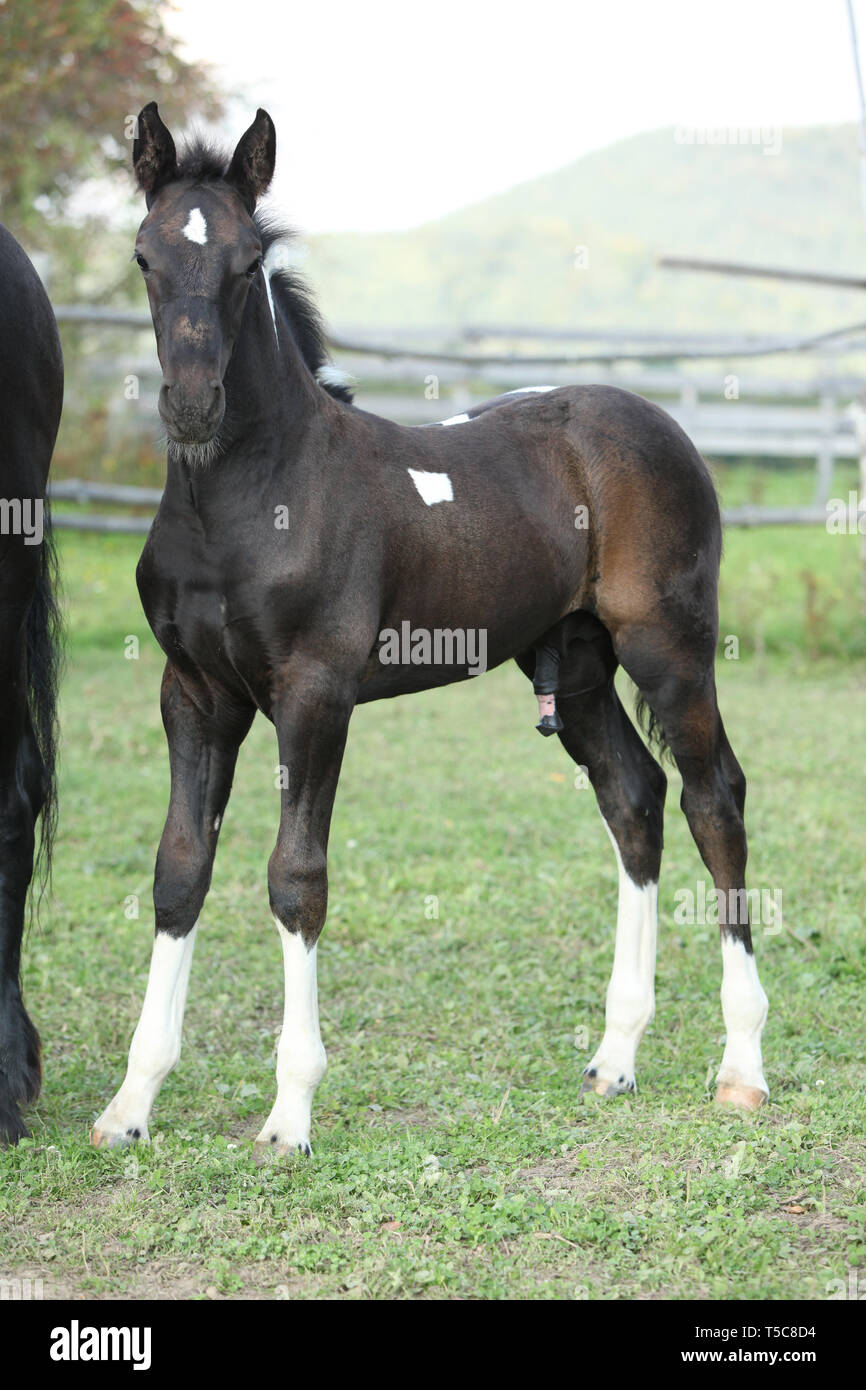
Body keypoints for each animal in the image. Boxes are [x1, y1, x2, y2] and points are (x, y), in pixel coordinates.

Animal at [92, 105, 769, 1156]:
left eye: (248, 261)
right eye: (144, 256)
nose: (193, 408)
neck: (248, 497)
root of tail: (661, 424)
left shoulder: (314, 696)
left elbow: (296, 879)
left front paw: (290, 1115)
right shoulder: (194, 696)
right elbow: (178, 872)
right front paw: (132, 1103)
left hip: (670, 650)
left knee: (713, 800)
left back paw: (741, 1065)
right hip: (576, 665)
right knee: (635, 798)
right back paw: (615, 1056)